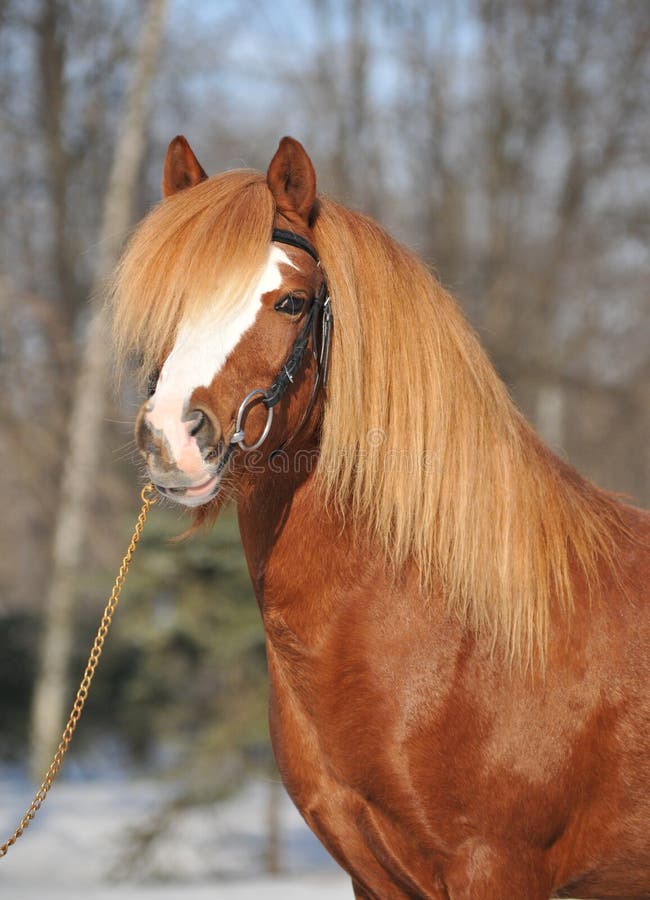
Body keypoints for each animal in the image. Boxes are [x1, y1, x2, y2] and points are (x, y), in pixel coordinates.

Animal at [110, 134, 650, 899]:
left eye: (292, 302)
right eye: (172, 301)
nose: (170, 438)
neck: (463, 630)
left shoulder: (496, 866)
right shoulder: (374, 878)